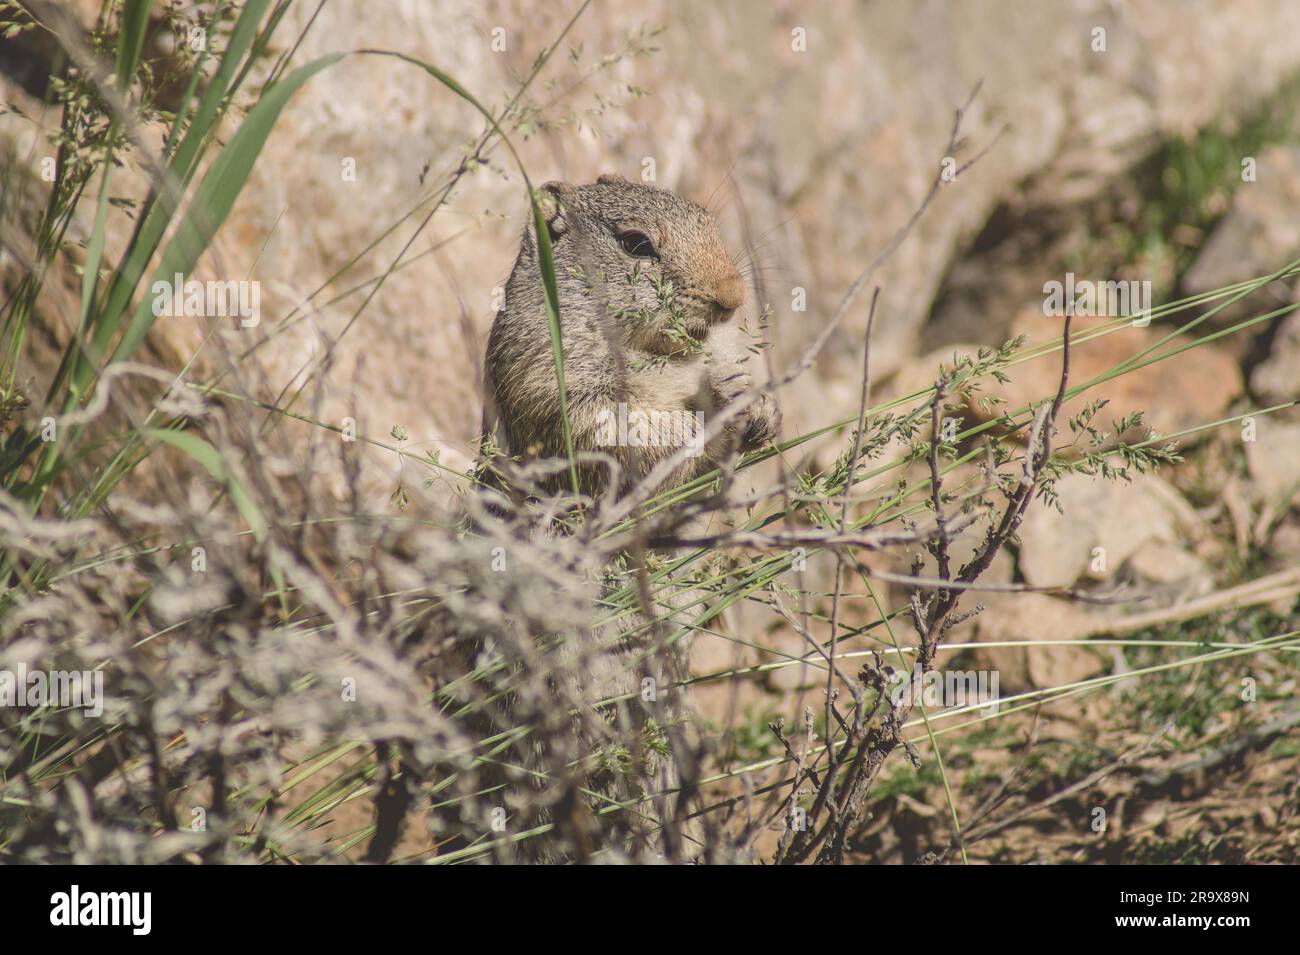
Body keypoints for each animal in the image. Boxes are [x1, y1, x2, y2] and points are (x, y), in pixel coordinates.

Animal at [481, 173, 780, 499]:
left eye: (708, 220)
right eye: (636, 243)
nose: (734, 296)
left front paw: (759, 405)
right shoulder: (549, 386)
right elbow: (636, 441)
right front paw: (720, 408)